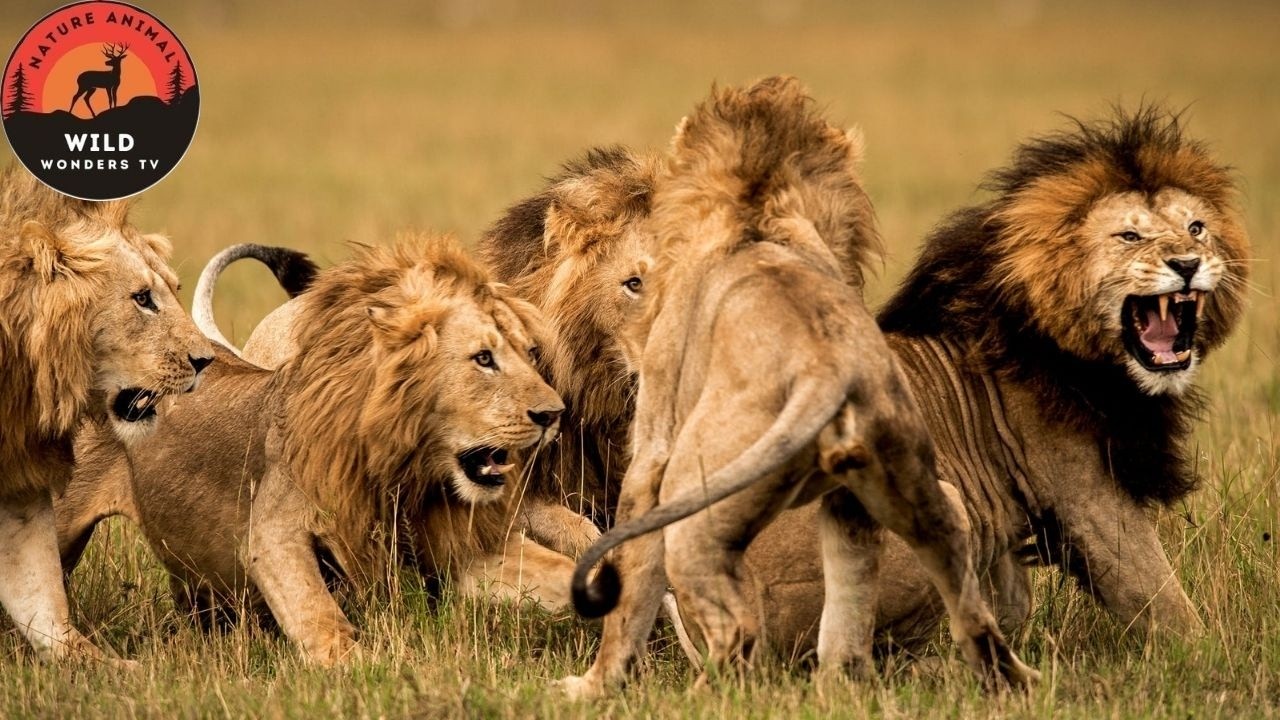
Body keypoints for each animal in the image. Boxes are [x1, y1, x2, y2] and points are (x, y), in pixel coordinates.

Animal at [0, 164, 214, 660]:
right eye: (142, 298)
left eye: (174, 290)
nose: (206, 361)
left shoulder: (21, 483)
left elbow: (39, 595)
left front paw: (101, 665)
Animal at [53, 235, 576, 665]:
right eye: (483, 358)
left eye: (531, 354)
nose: (554, 414)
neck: (407, 469)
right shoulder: (274, 532)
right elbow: (320, 616)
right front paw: (368, 668)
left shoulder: (456, 543)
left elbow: (560, 569)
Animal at [559, 77, 1036, 696]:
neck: (757, 212)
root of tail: (823, 368)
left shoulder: (651, 450)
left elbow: (631, 583)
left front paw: (595, 684)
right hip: (912, 490)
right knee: (947, 595)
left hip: (694, 502)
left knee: (735, 629)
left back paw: (700, 697)